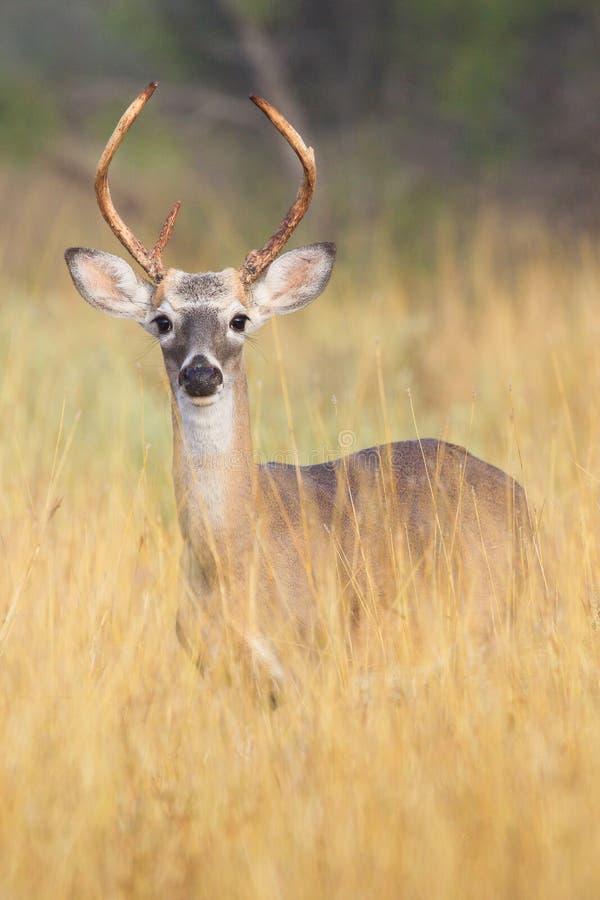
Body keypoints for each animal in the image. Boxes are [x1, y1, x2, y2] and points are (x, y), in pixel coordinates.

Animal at [65, 83, 530, 687]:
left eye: (240, 319)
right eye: (162, 321)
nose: (201, 372)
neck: (232, 560)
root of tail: (518, 495)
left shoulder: (317, 661)